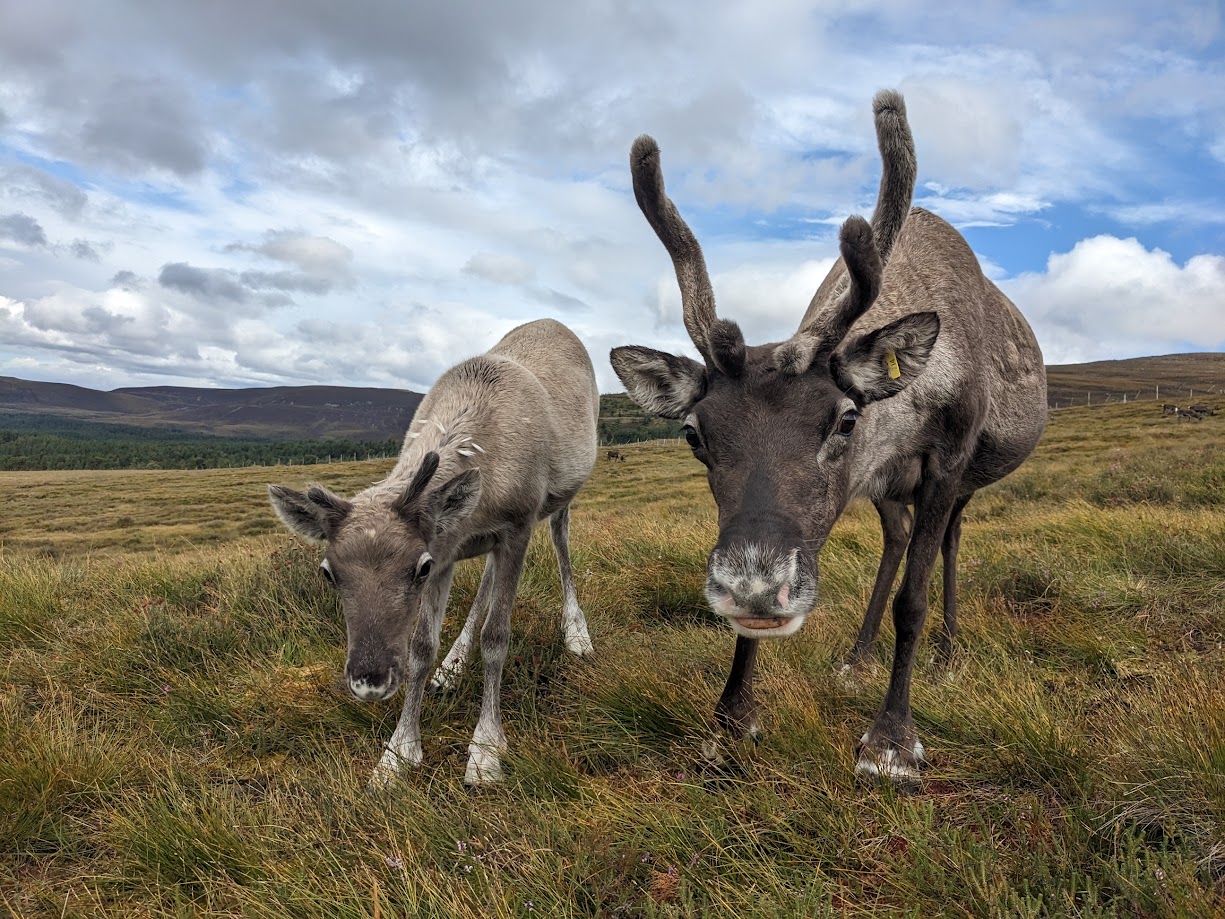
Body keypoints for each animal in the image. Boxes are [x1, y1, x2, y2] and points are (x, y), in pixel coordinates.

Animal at [269, 318, 598, 787]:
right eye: (328, 572)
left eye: (417, 568)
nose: (369, 679)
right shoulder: (448, 545)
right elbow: (422, 647)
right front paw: (397, 753)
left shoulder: (515, 528)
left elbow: (497, 637)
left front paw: (486, 750)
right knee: (486, 578)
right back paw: (454, 664)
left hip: (560, 499)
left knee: (560, 539)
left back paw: (576, 632)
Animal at [610, 90, 1047, 786]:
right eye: (694, 433)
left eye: (845, 418)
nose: (754, 586)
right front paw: (732, 719)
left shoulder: (946, 462)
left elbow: (914, 599)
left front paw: (891, 740)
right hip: (886, 490)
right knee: (896, 536)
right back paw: (856, 657)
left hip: (966, 481)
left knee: (950, 539)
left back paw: (948, 654)